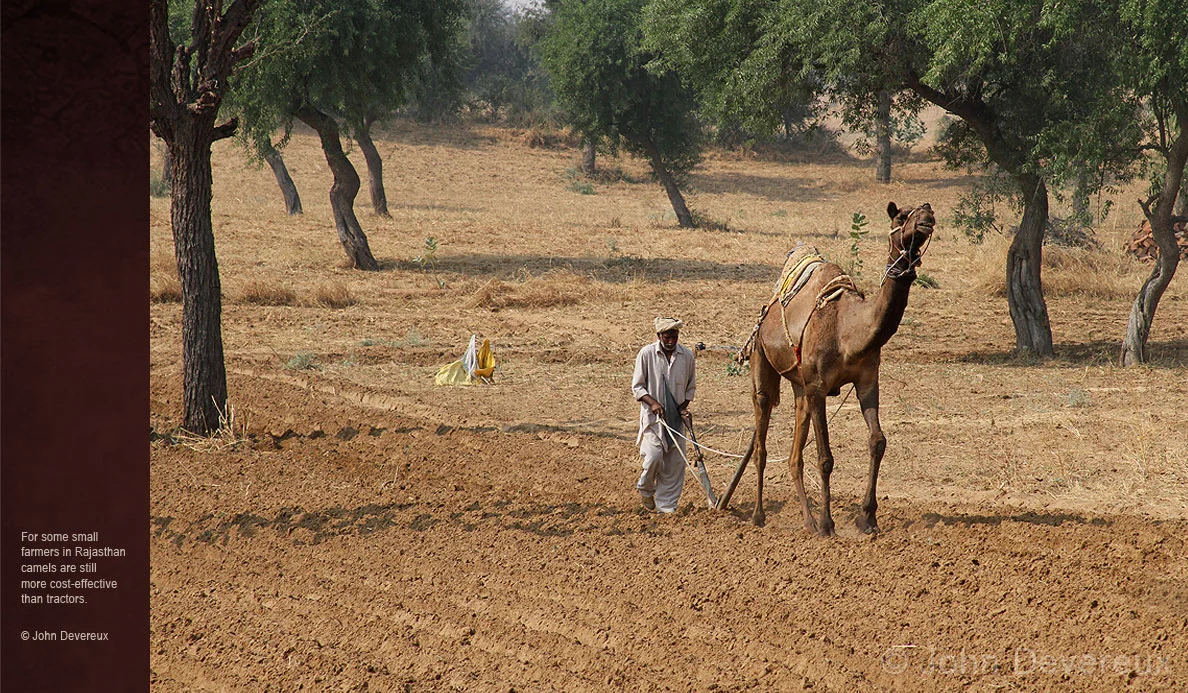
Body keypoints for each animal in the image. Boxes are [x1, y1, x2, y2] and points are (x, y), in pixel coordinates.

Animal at [718, 202, 936, 535]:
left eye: (925, 210)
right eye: (901, 216)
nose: (927, 216)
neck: (849, 331)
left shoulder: (867, 381)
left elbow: (878, 442)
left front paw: (867, 518)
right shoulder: (818, 387)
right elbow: (825, 457)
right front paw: (827, 523)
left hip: (799, 387)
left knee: (794, 455)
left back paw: (807, 521)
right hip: (762, 361)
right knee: (761, 442)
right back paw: (759, 516)